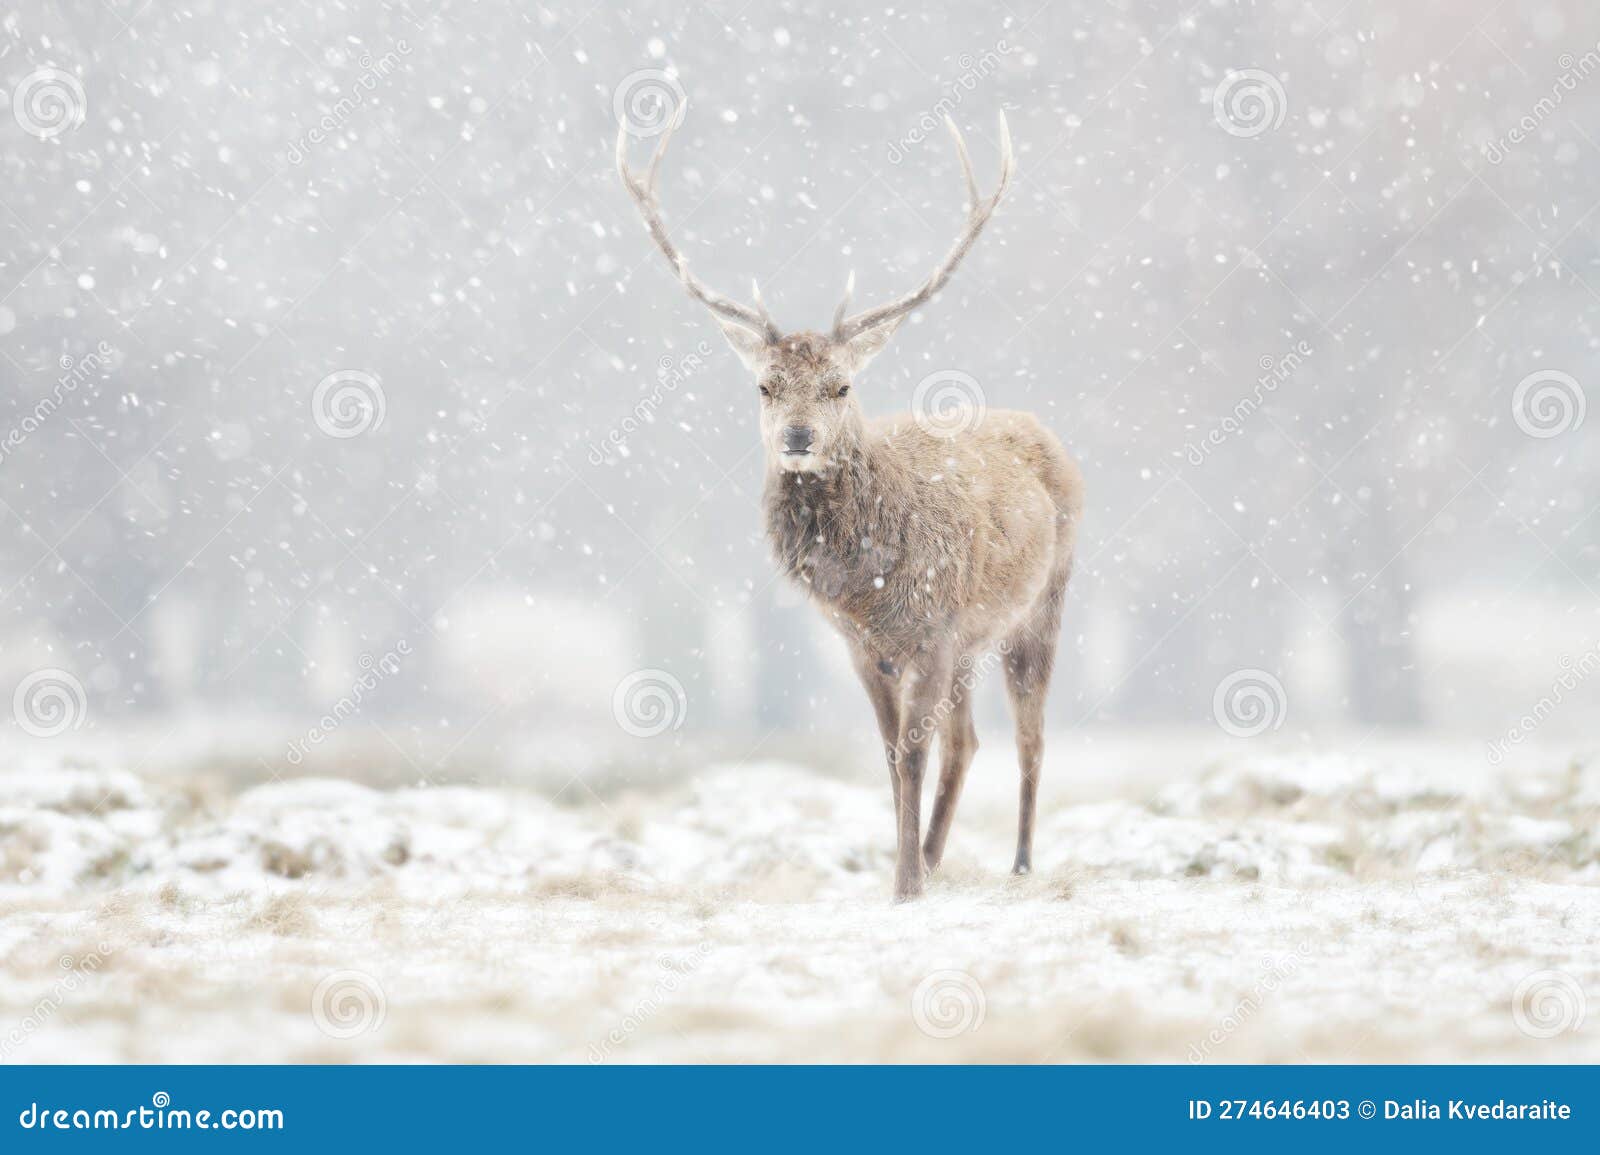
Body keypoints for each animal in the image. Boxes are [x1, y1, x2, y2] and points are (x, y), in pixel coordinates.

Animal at [618, 107, 1082, 901]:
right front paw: (902, 874)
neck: (867, 580)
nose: (799, 437)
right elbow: (892, 754)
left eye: (841, 385)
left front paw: (906, 886)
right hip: (969, 645)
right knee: (968, 739)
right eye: (765, 385)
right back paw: (934, 853)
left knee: (1030, 731)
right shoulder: (863, 646)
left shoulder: (932, 628)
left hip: (1042, 601)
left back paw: (1020, 859)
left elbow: (913, 751)